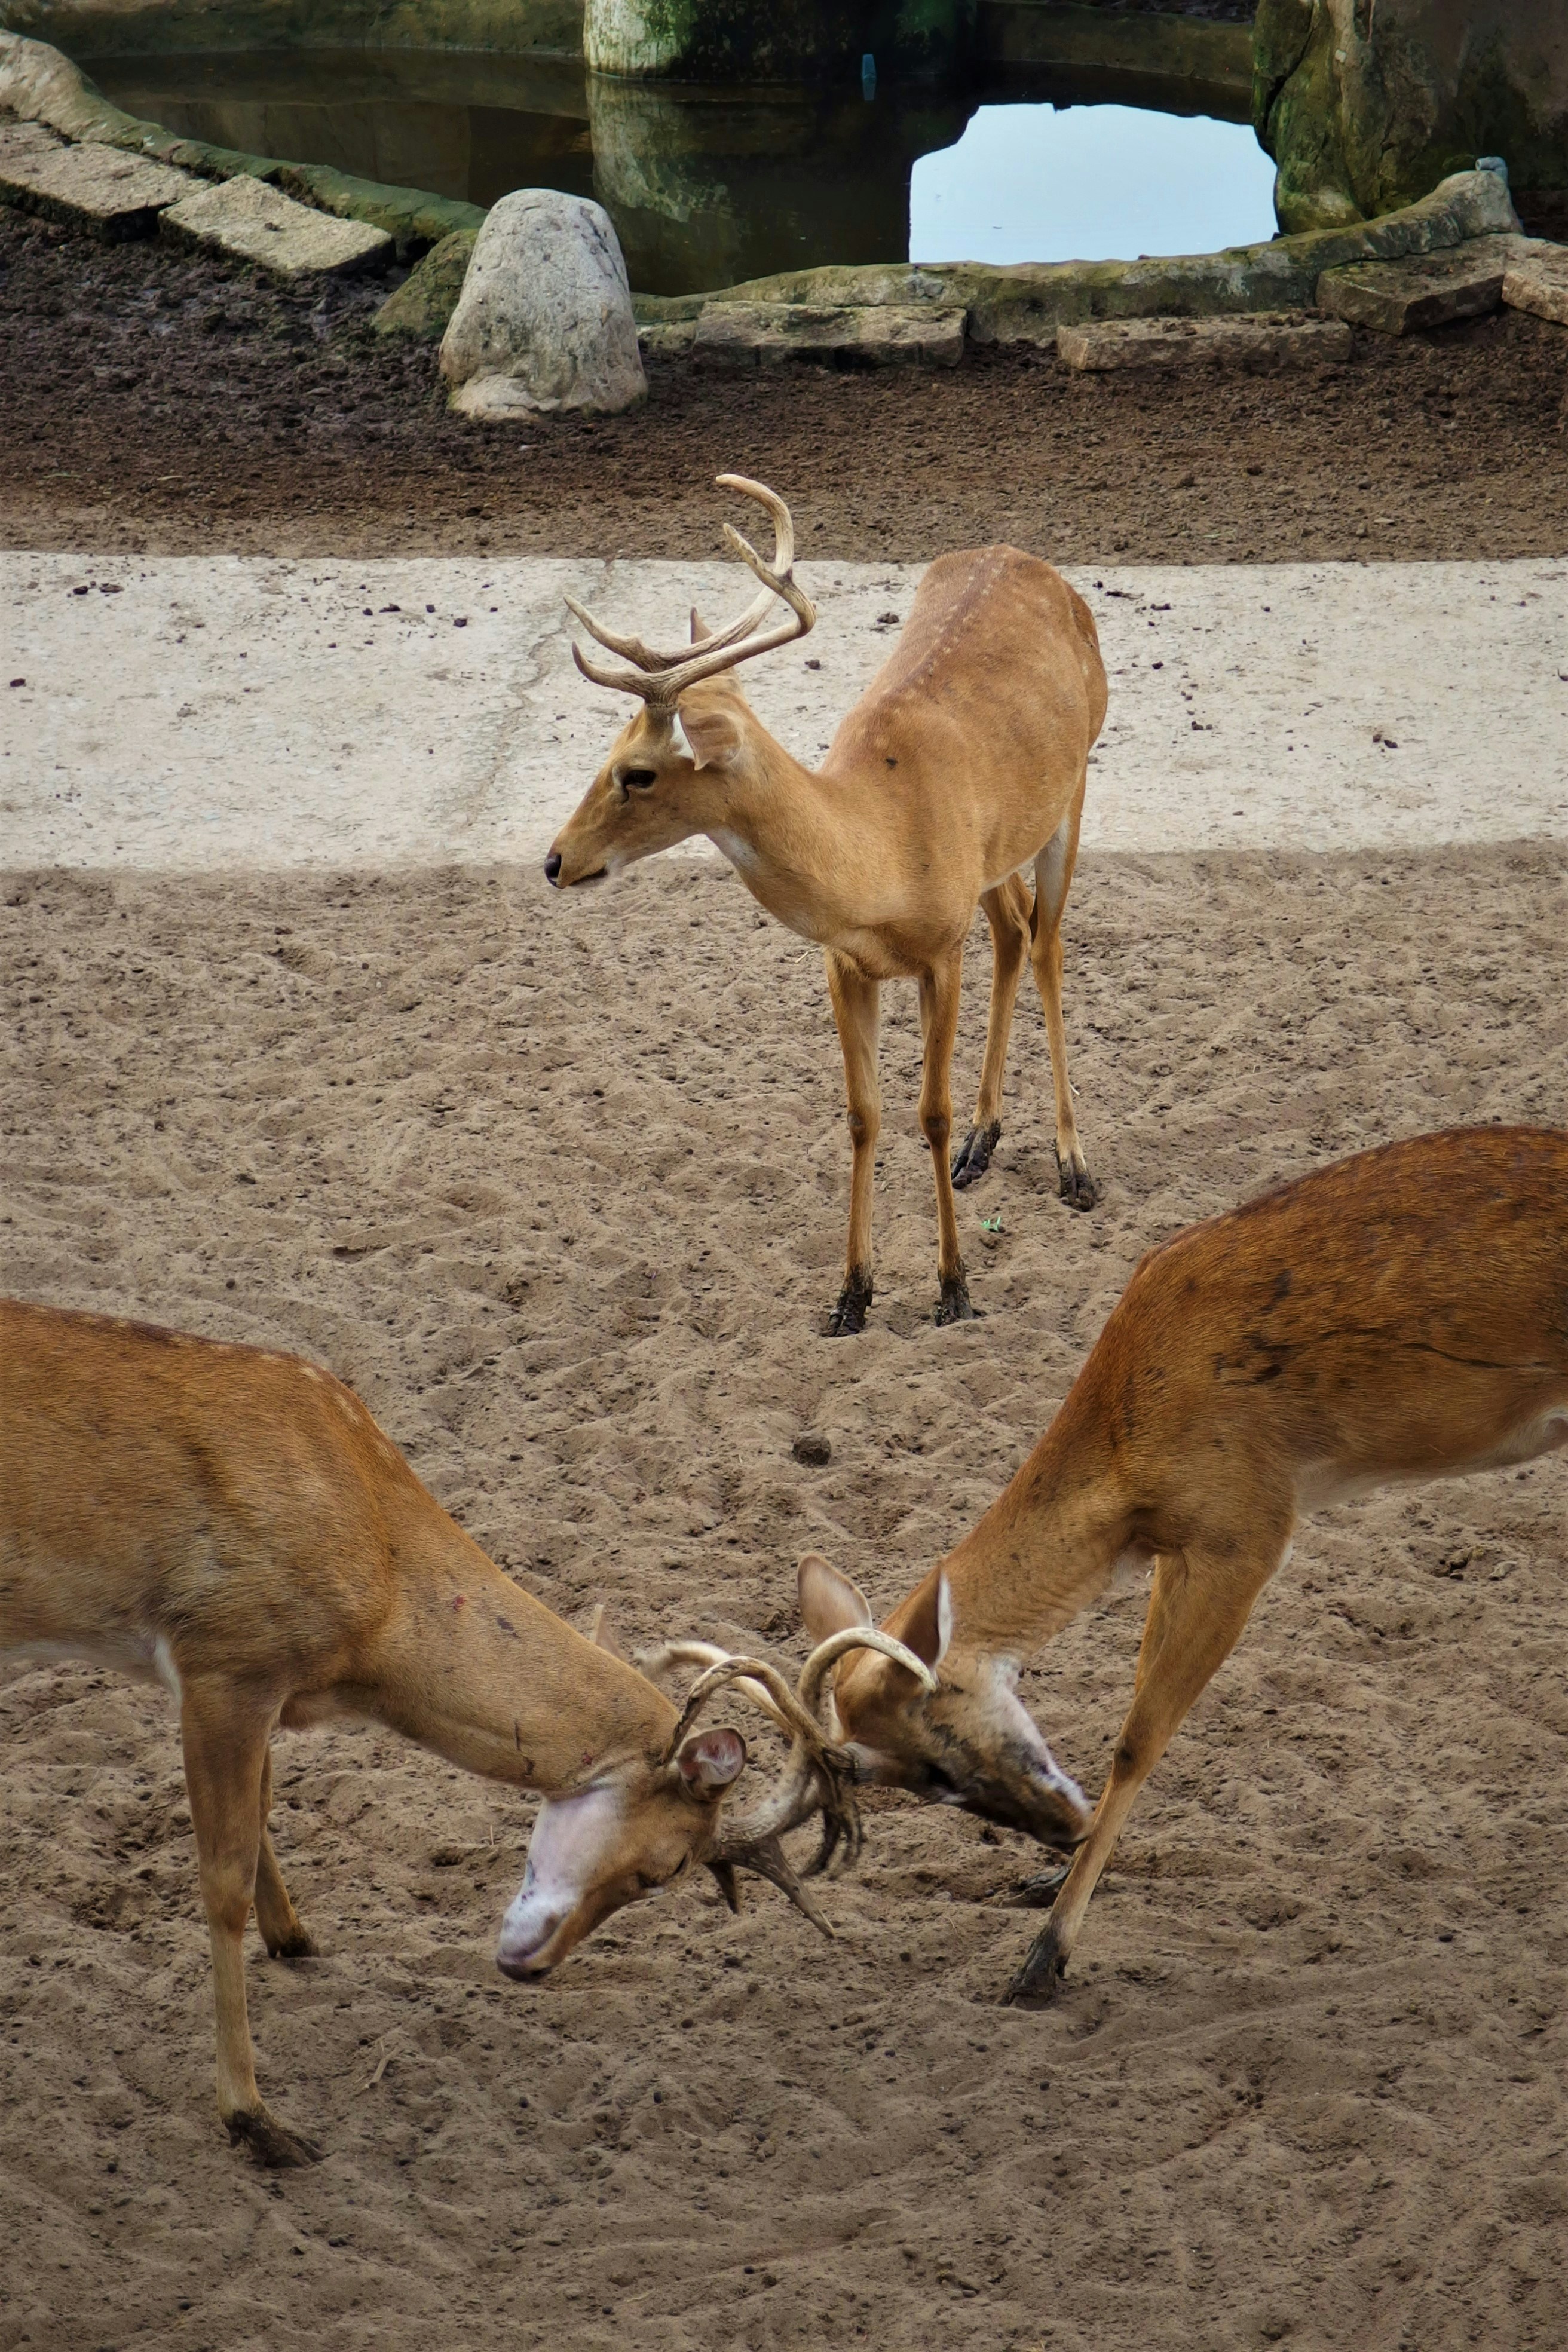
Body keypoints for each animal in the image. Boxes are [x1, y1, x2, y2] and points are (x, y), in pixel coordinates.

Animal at [0, 1297, 932, 2165]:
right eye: (664, 1869)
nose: (535, 1969)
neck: (377, 1600)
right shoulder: (227, 1658)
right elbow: (220, 1878)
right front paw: (256, 2119)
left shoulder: (257, 1687)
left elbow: (263, 1813)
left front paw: (296, 1937)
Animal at [543, 474, 1108, 1336]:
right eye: (607, 753)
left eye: (638, 773)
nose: (554, 861)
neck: (878, 859)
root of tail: (1036, 564)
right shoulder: (844, 964)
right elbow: (861, 1116)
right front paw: (851, 1296)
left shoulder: (940, 954)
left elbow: (928, 1112)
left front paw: (953, 1290)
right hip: (995, 852)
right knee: (1015, 934)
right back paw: (984, 1145)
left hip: (1073, 785)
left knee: (1048, 945)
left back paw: (1073, 1165)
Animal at [777, 1125, 1568, 2005]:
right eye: (907, 1780)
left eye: (936, 1756)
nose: (1057, 1829)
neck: (1127, 1435)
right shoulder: (1174, 1548)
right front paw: (1047, 1886)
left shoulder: (1244, 1536)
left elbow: (1139, 1737)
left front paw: (1043, 1957)